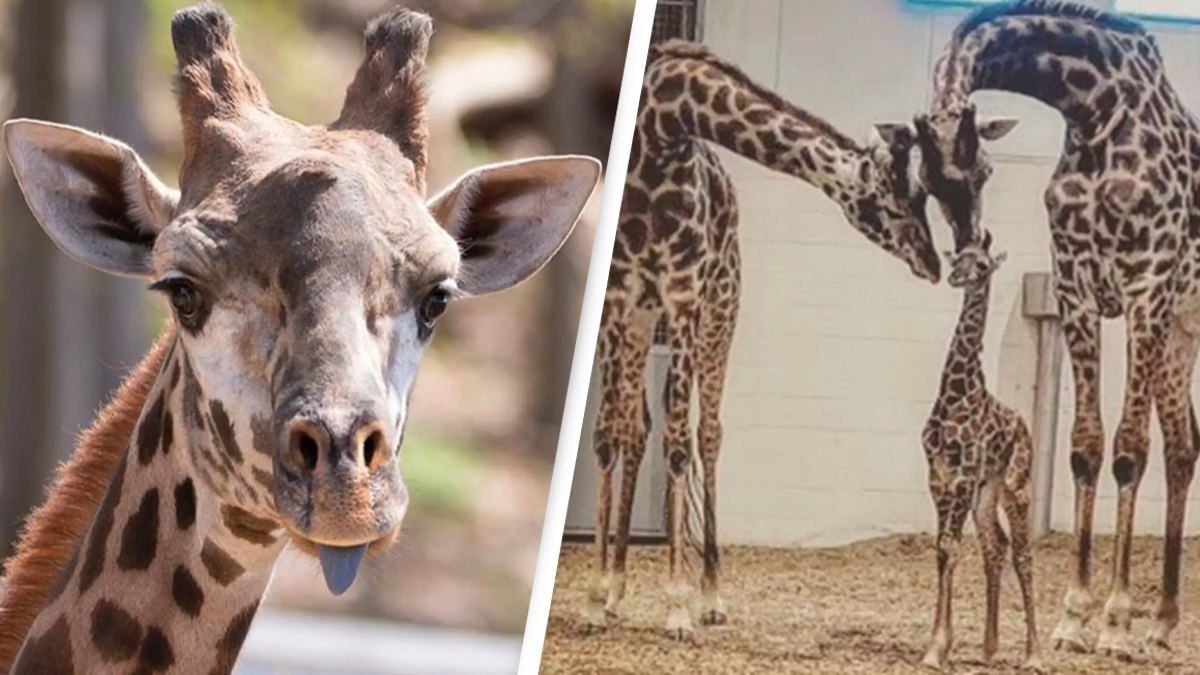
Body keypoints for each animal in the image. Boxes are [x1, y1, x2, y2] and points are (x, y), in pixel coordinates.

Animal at [586, 39, 943, 641]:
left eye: (923, 196)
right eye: (893, 202)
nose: (935, 264)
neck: (660, 129)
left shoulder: (684, 296)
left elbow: (679, 444)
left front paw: (678, 605)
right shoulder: (620, 298)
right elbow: (608, 435)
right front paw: (595, 600)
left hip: (721, 305)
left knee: (707, 433)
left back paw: (709, 595)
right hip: (645, 318)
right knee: (635, 427)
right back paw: (614, 588)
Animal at [921, 231, 1040, 671]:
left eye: (984, 265)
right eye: (959, 257)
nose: (956, 277)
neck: (955, 394)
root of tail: (1025, 427)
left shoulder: (963, 477)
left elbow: (951, 549)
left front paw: (937, 648)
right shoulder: (939, 478)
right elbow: (943, 550)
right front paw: (940, 644)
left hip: (1015, 486)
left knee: (1022, 553)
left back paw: (1034, 653)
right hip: (986, 493)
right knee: (996, 546)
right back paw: (989, 647)